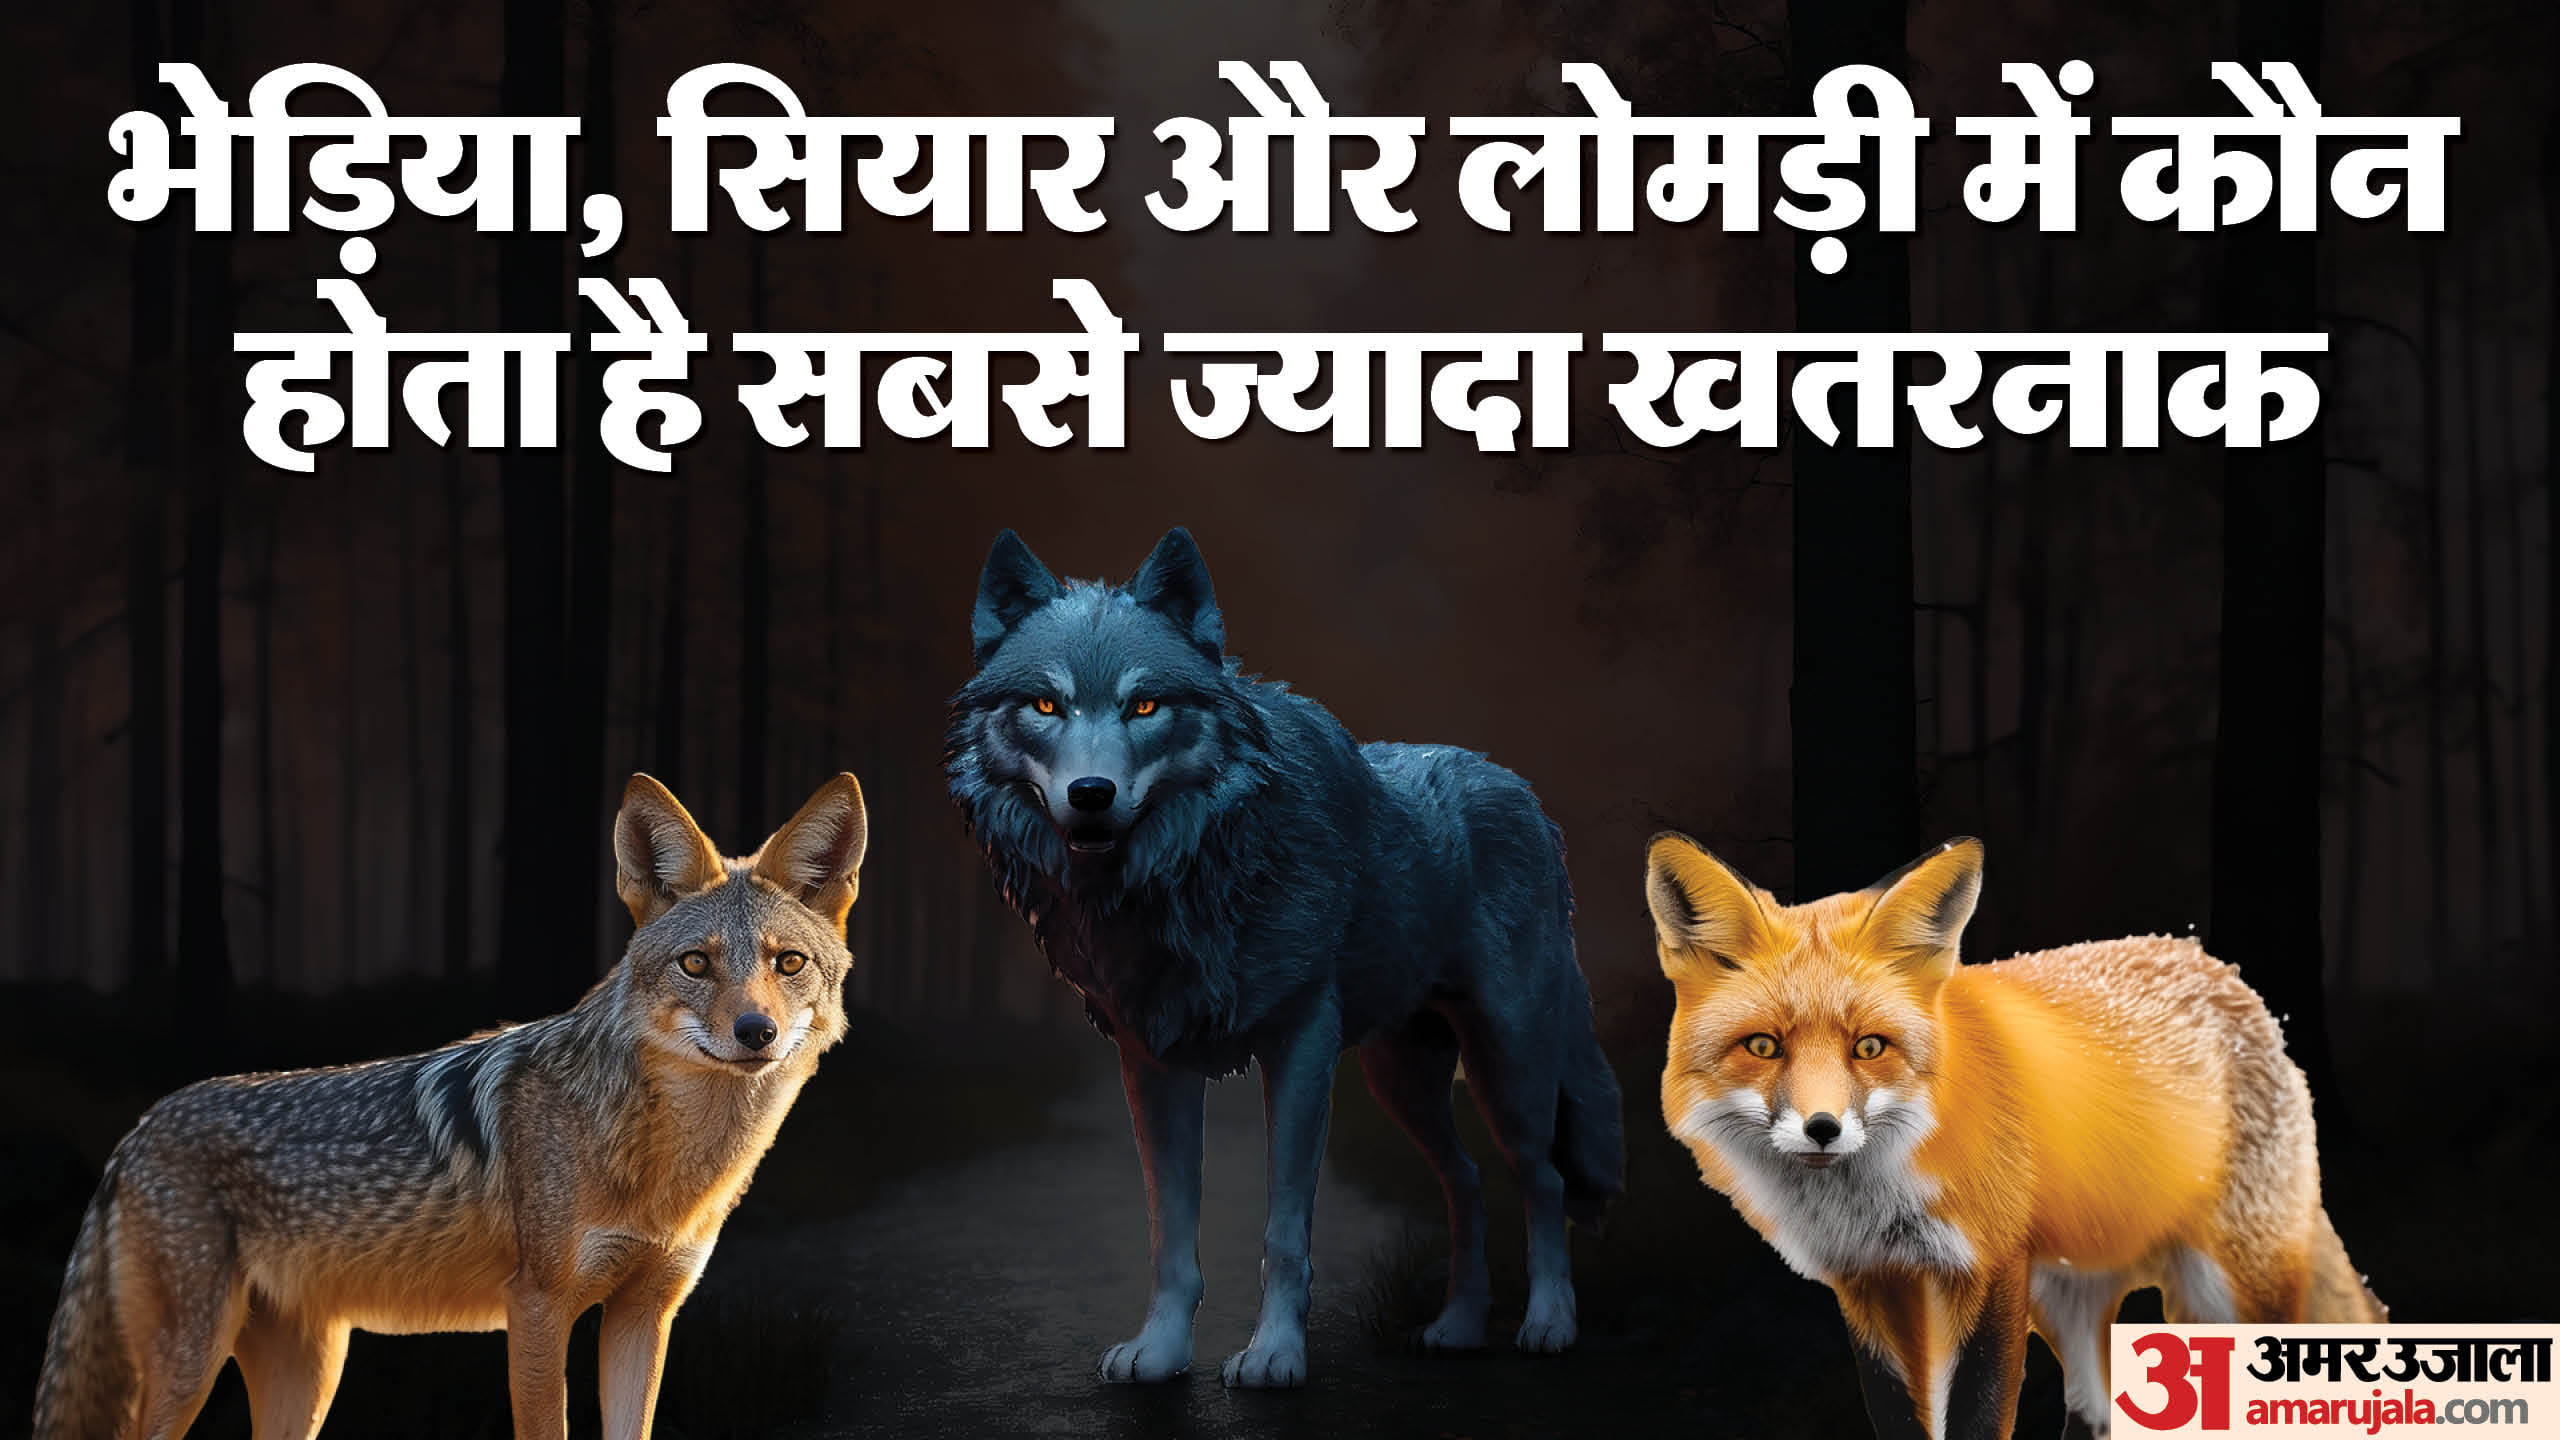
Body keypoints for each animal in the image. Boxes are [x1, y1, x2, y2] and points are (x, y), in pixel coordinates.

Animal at [32, 773, 868, 1440]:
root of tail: (136, 1131)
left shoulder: (643, 1315)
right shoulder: (537, 1311)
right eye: (696, 964)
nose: (755, 1032)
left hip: (309, 1376)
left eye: (787, 963)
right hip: (192, 1366)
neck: (663, 1164)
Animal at [945, 526, 1624, 1388]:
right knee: (1467, 1181)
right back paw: (1459, 1327)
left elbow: (1285, 1233)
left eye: (1145, 705)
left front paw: (1273, 1355)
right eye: (1044, 705)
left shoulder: (1300, 1048)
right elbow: (1170, 1234)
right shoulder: (1152, 1060)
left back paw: (1549, 1322)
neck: (1191, 878)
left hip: (1512, 1064)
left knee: (1543, 1179)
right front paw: (1159, 1352)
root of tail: (1521, 791)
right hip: (1401, 1082)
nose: (1092, 793)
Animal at [1644, 833, 2382, 1440]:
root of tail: (2220, 969)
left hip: (2234, 1287)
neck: (1873, 1197)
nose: (1822, 1129)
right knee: (2096, 1413)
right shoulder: (1869, 1281)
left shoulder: (1989, 1267)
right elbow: (1898, 1416)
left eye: (1869, 1047)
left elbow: (1976, 1413)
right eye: (1764, 1046)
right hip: (2066, 1297)